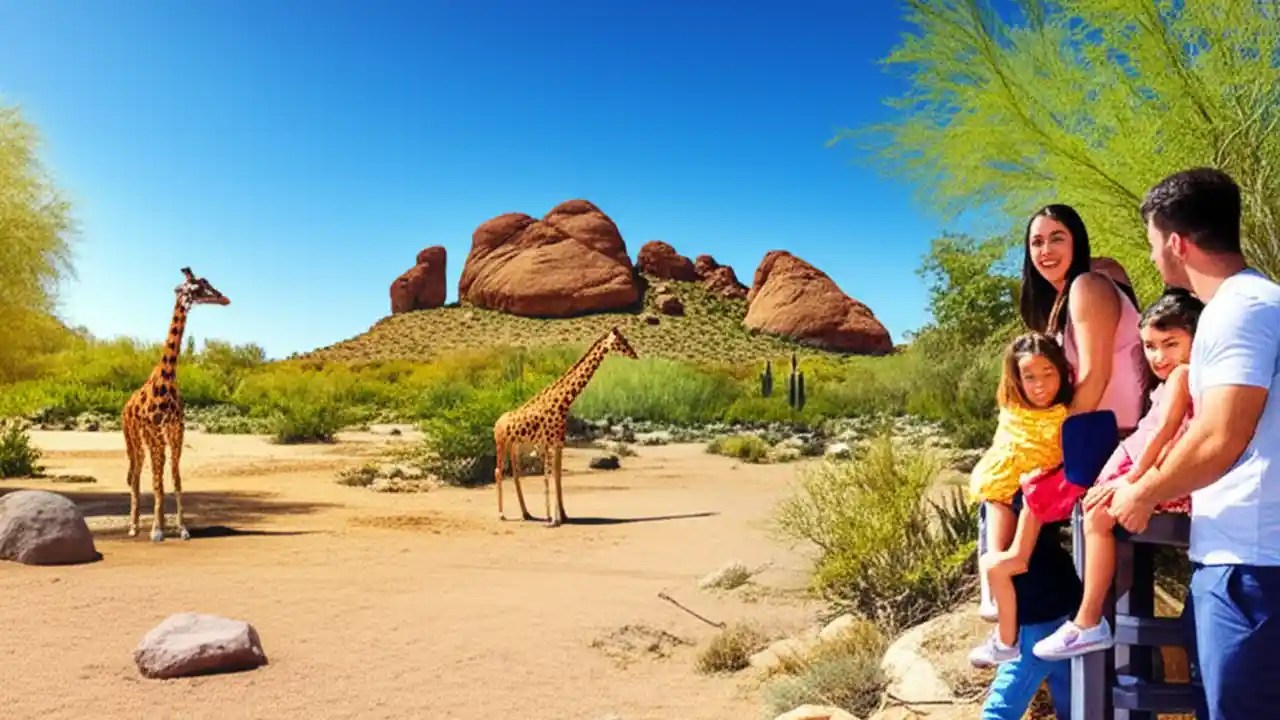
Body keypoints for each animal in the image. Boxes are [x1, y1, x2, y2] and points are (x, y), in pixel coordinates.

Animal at [121, 267, 230, 542]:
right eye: (198, 286)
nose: (224, 298)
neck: (167, 376)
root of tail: (125, 407)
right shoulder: (154, 430)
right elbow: (157, 482)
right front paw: (156, 530)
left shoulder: (176, 429)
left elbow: (175, 479)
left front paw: (181, 528)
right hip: (133, 437)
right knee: (136, 474)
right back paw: (134, 527)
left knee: (149, 474)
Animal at [493, 325, 638, 527]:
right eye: (622, 341)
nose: (635, 354)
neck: (563, 402)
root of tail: (497, 423)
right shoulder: (548, 442)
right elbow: (549, 477)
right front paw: (551, 520)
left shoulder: (559, 443)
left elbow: (558, 477)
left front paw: (562, 516)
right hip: (501, 444)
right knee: (498, 471)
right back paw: (501, 514)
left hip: (516, 446)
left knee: (515, 474)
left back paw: (527, 513)